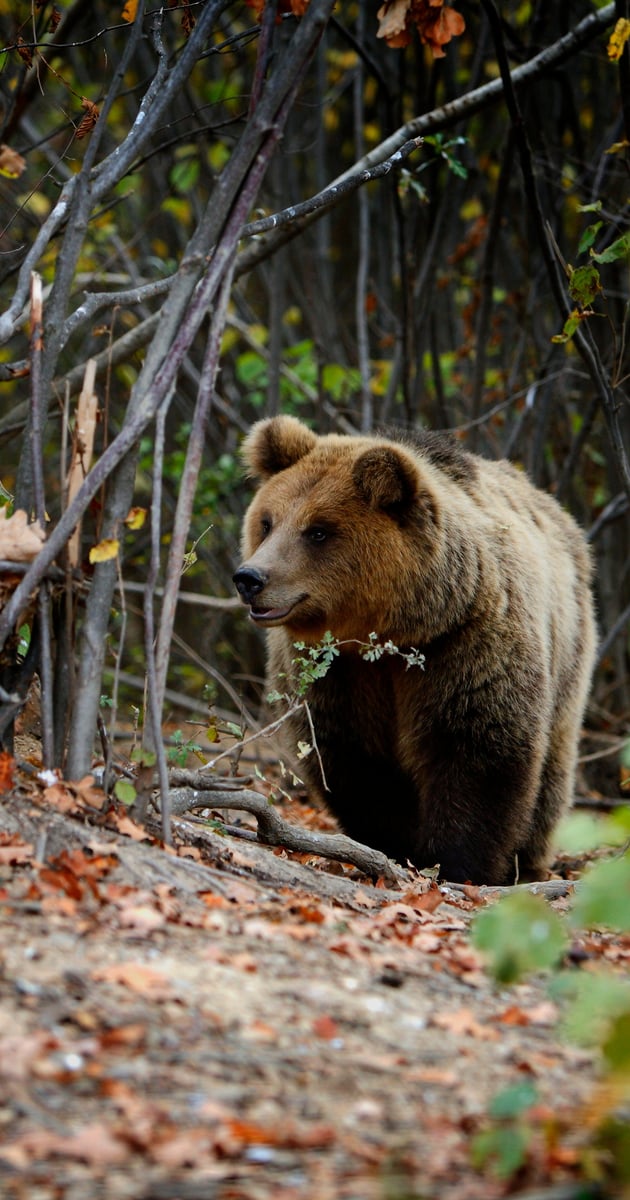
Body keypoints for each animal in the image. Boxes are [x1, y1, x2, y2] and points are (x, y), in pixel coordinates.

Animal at [233, 415, 597, 885]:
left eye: (318, 530)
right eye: (267, 521)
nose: (250, 578)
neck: (390, 631)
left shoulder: (465, 644)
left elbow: (478, 750)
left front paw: (458, 864)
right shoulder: (337, 671)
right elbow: (353, 760)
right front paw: (392, 845)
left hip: (569, 647)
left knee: (553, 766)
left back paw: (528, 862)